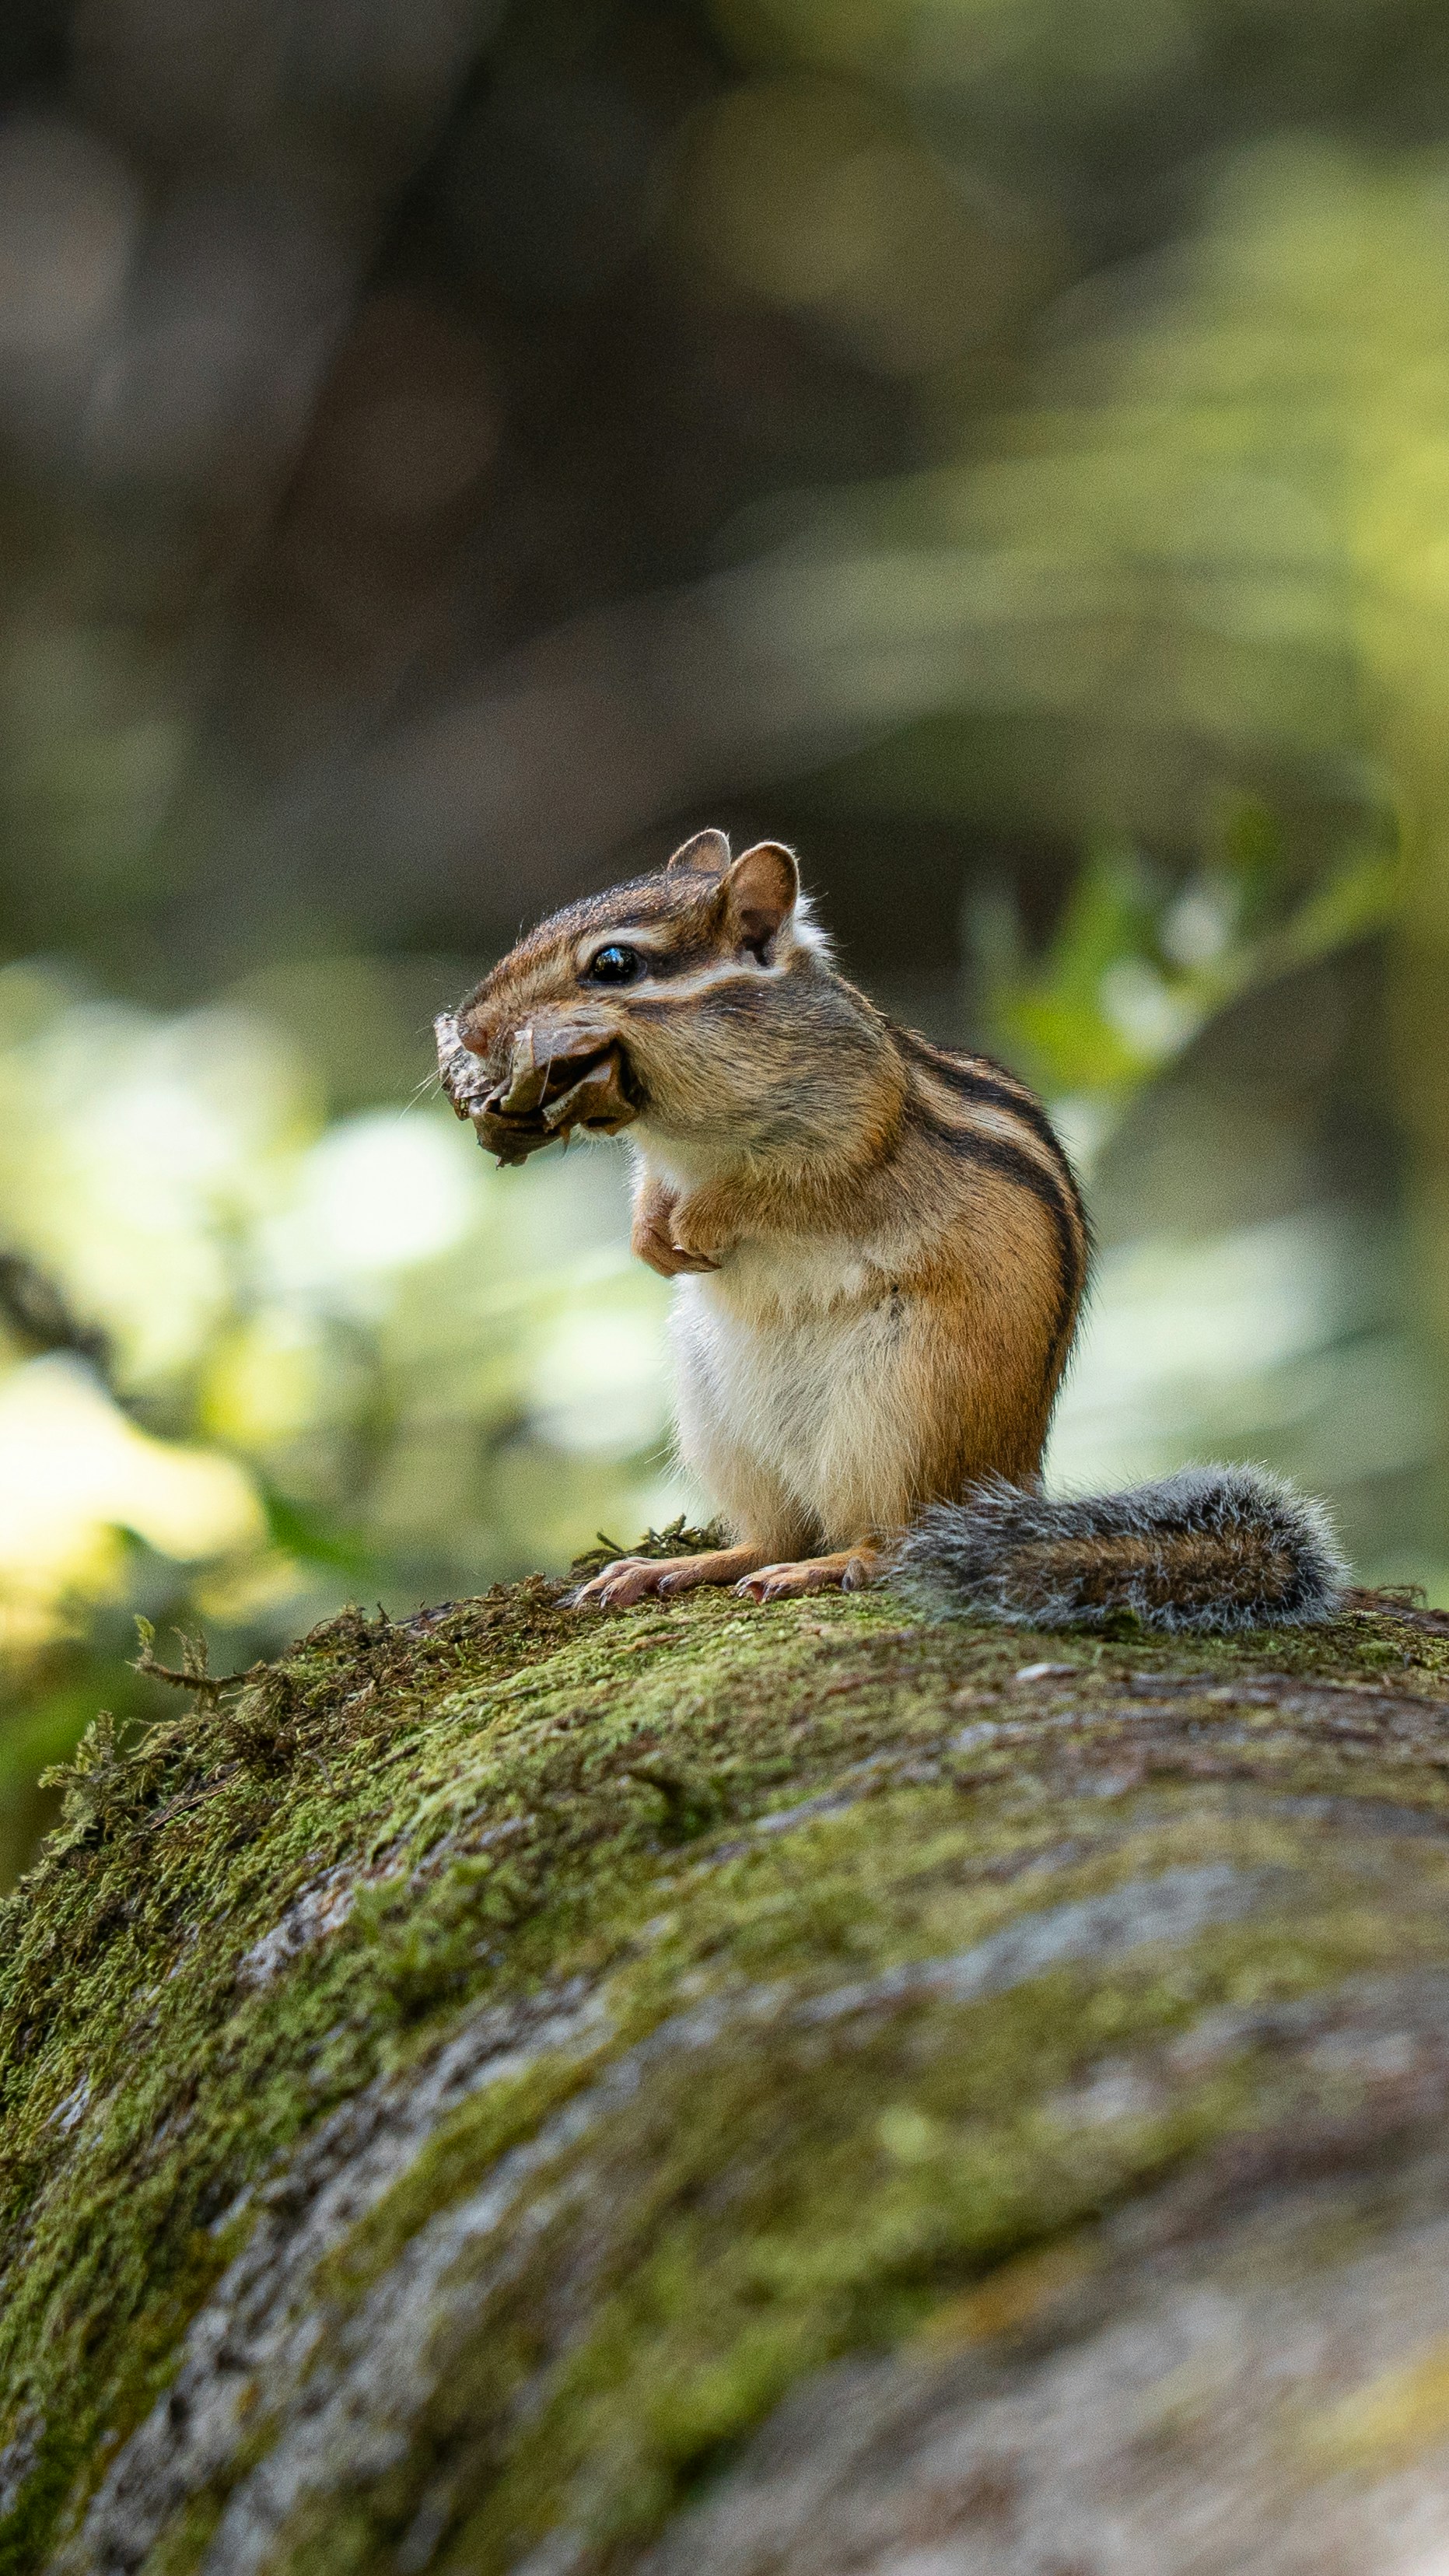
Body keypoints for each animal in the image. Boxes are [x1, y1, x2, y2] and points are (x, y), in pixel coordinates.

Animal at [435, 828, 1346, 1631]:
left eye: (614, 965)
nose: (471, 1027)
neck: (684, 1126)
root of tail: (1015, 1484)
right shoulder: (664, 1160)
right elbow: (650, 1186)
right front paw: (652, 1235)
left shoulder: (852, 1132)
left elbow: (779, 1191)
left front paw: (701, 1218)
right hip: (718, 1419)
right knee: (775, 1532)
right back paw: (683, 1565)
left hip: (904, 1410)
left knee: (893, 1542)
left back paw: (831, 1565)